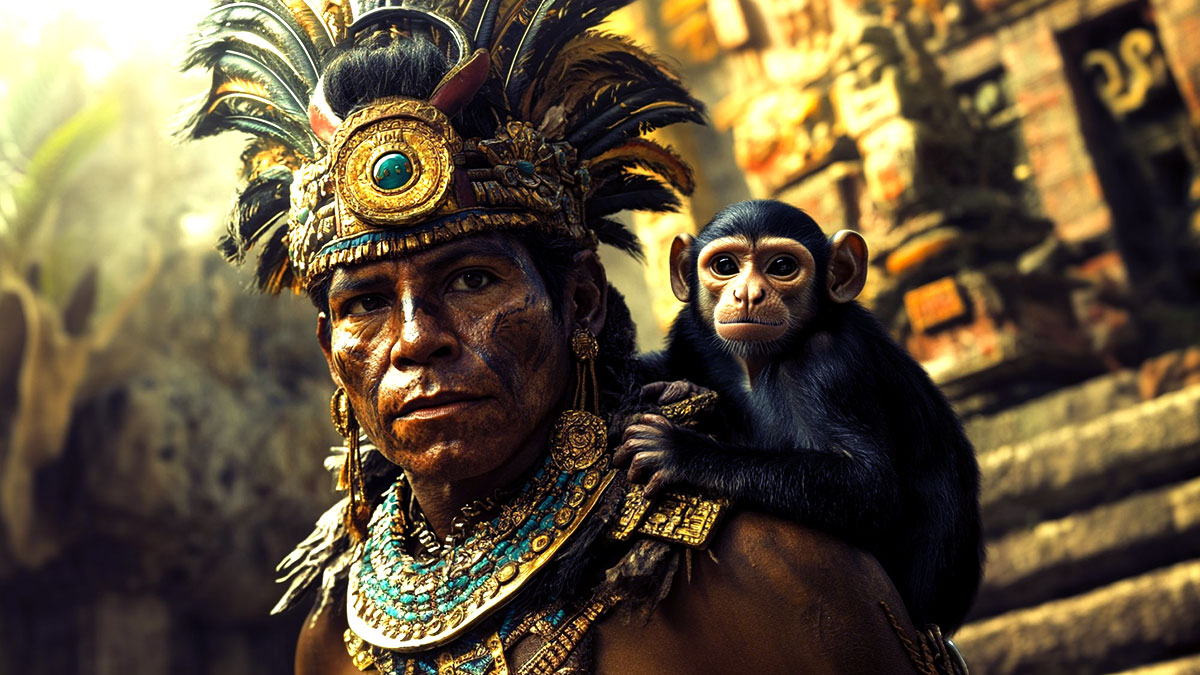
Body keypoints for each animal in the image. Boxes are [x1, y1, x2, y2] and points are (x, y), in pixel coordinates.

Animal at [616, 199, 983, 634]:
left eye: (782, 267)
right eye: (724, 265)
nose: (748, 293)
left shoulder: (830, 364)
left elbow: (868, 484)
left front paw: (680, 449)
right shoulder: (689, 332)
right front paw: (676, 389)